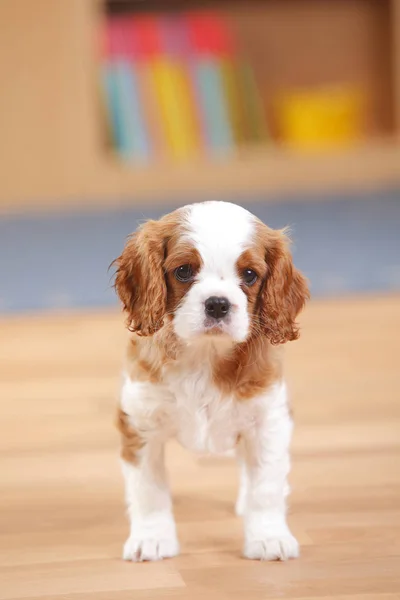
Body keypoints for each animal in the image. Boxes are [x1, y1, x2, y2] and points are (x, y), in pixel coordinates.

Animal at [113, 202, 310, 564]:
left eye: (250, 275)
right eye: (183, 271)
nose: (218, 303)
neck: (205, 355)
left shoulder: (268, 422)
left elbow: (266, 487)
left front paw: (268, 537)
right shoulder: (140, 424)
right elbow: (148, 490)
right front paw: (151, 538)